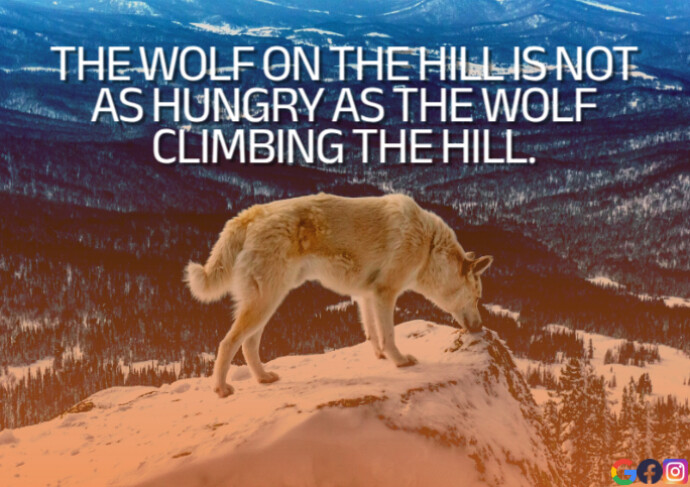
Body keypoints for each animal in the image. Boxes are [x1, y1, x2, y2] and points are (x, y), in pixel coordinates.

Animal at [185, 193, 493, 398]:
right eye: (477, 297)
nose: (480, 327)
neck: (429, 245)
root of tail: (250, 214)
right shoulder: (385, 293)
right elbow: (389, 335)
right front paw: (400, 361)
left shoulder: (367, 295)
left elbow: (373, 334)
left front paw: (381, 357)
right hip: (265, 303)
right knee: (227, 343)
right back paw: (221, 388)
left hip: (267, 304)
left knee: (248, 345)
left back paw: (263, 378)